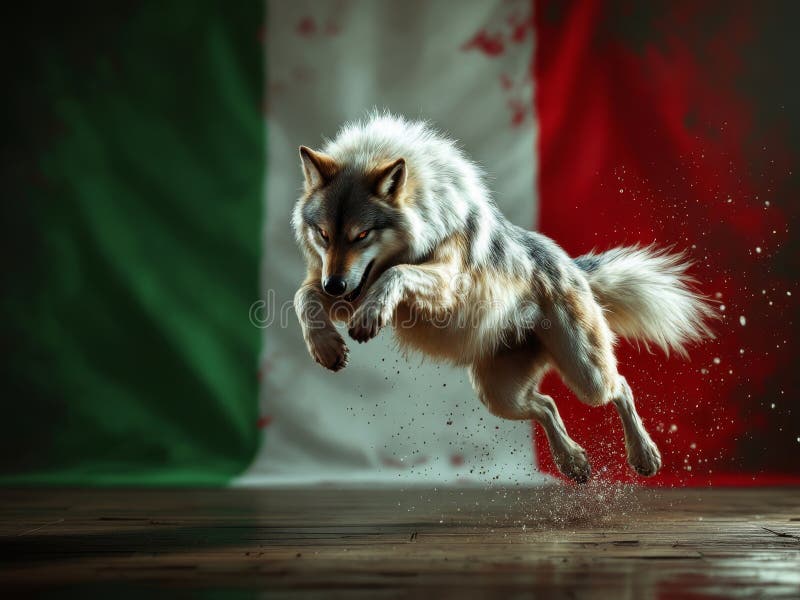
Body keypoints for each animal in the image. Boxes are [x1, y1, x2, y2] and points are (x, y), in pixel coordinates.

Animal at [292, 112, 714, 483]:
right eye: (324, 235)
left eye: (362, 235)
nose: (334, 285)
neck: (428, 214)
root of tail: (573, 266)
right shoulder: (341, 288)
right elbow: (302, 297)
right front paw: (326, 347)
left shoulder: (445, 282)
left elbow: (396, 274)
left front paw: (368, 318)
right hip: (498, 396)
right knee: (547, 405)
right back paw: (574, 462)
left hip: (585, 376)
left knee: (621, 386)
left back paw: (643, 456)